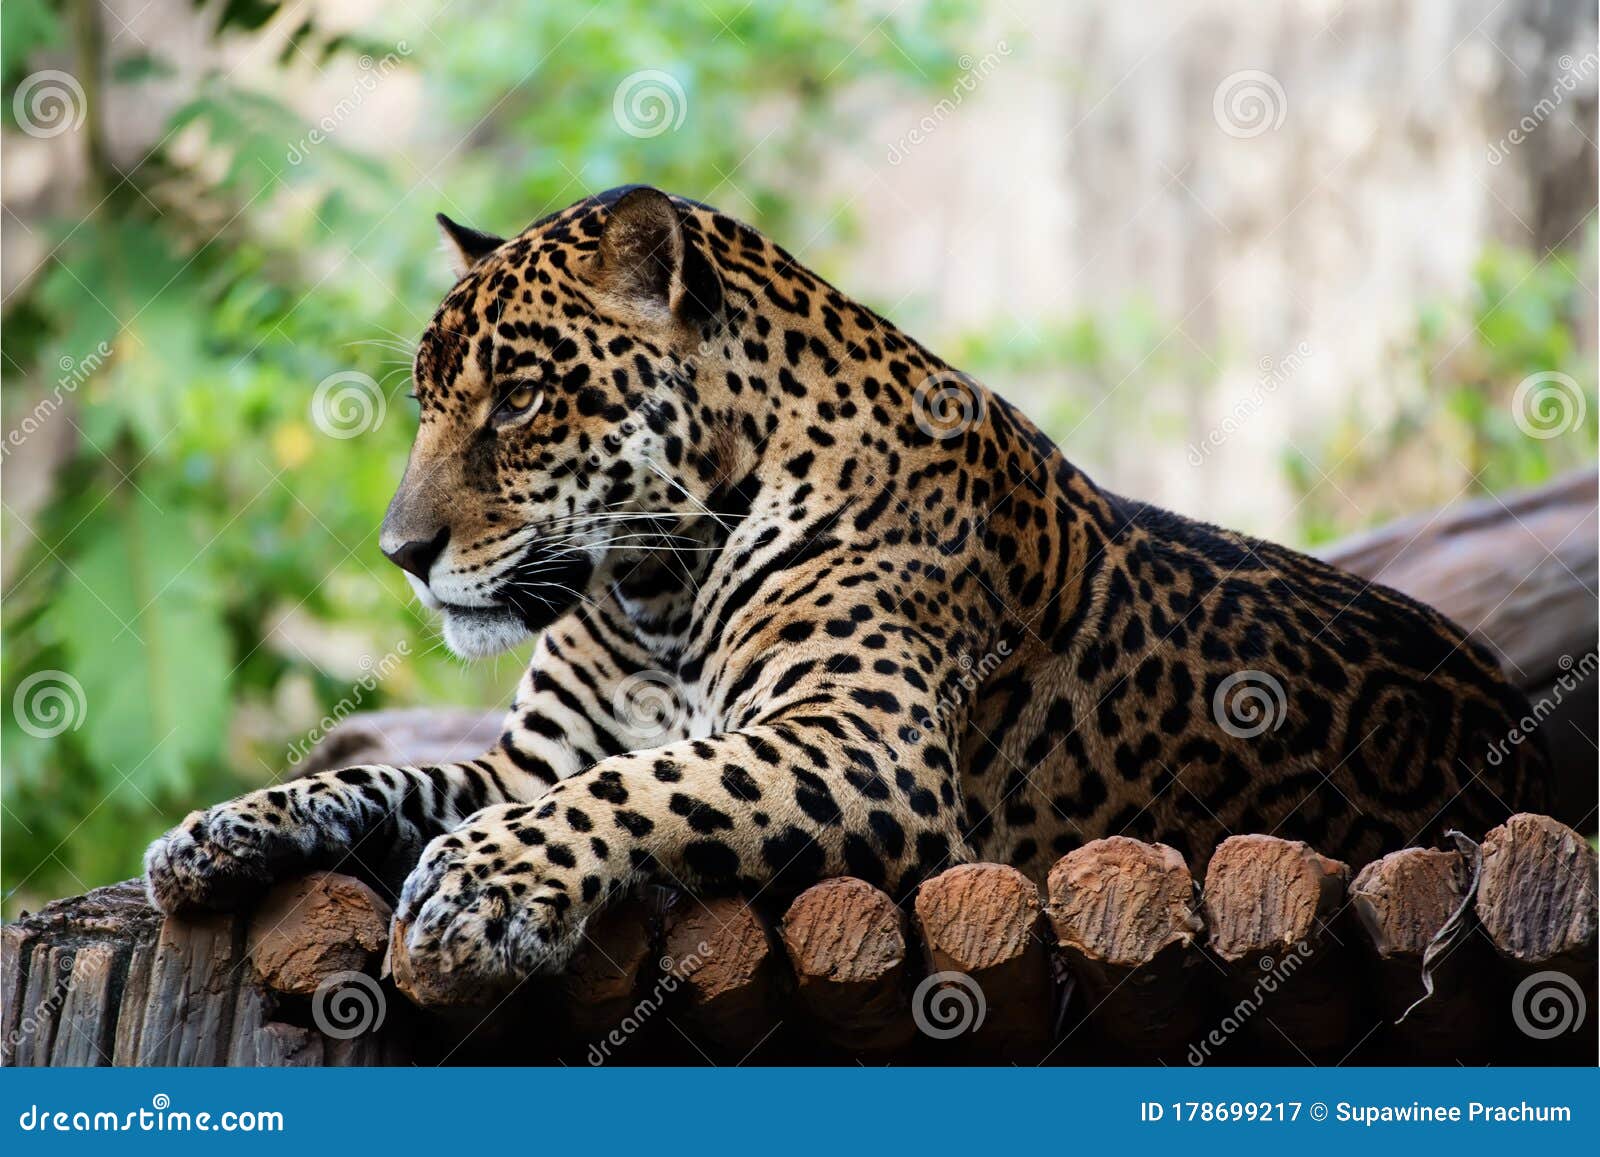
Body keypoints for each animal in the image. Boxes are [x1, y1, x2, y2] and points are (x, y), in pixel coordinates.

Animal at [144, 186, 1546, 995]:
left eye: (525, 398)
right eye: (430, 400)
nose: (401, 551)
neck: (652, 593)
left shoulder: (866, 741)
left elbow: (650, 781)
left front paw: (482, 890)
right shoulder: (522, 760)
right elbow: (389, 779)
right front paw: (221, 829)